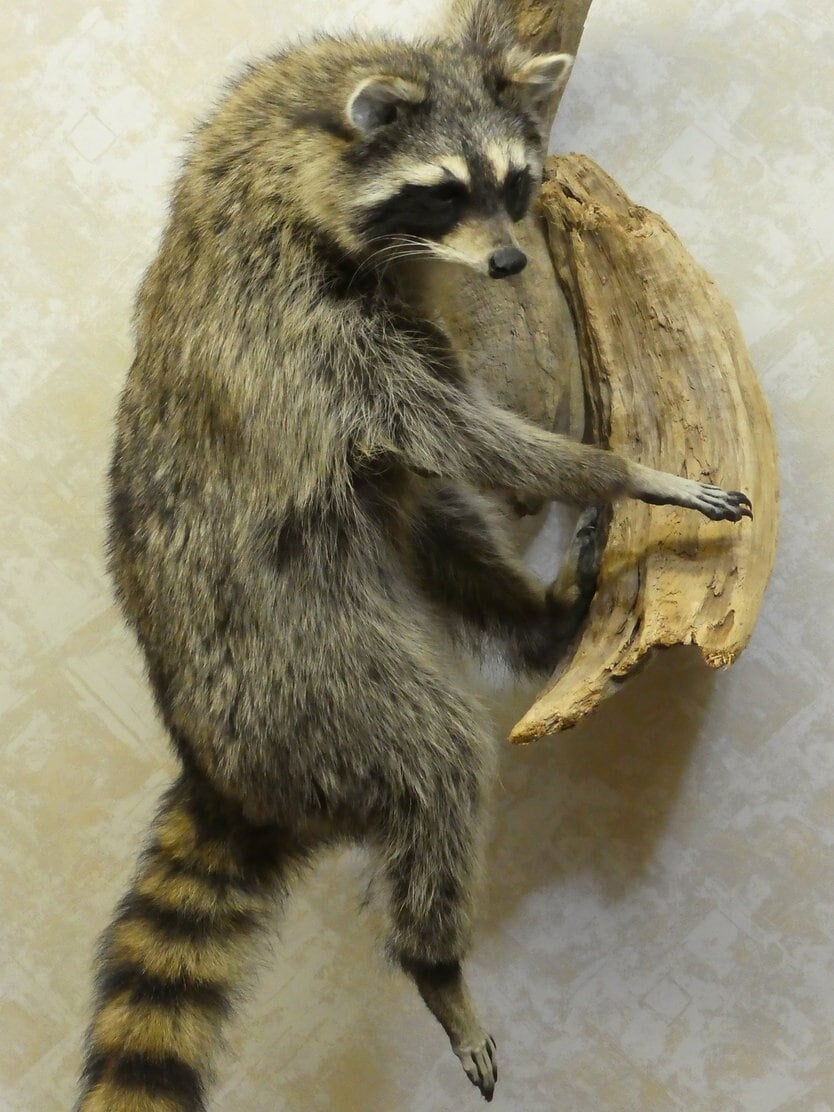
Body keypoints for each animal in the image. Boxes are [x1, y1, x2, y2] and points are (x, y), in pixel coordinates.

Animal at [77, 3, 752, 1108]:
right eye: (441, 190)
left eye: (513, 182)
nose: (513, 265)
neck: (295, 140)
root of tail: (218, 768)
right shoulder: (300, 327)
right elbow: (458, 432)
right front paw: (624, 472)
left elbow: (450, 437)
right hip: (308, 682)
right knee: (433, 760)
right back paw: (435, 961)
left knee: (428, 522)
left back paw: (545, 616)